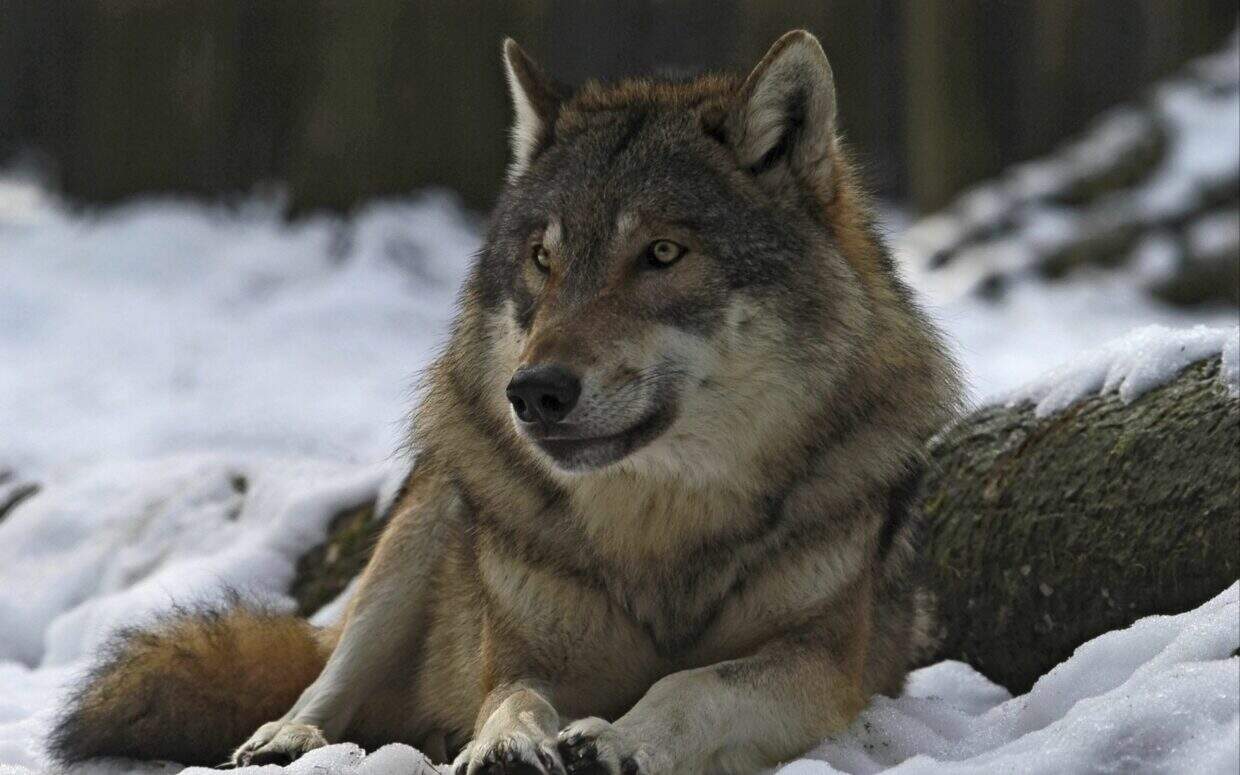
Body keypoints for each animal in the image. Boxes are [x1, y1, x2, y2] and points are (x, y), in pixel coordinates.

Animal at [49, 30, 960, 775]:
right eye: (543, 259)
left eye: (663, 254)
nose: (535, 391)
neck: (657, 533)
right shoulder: (523, 652)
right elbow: (512, 696)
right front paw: (508, 742)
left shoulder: (823, 664)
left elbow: (693, 685)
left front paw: (618, 738)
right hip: (429, 519)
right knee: (326, 674)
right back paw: (286, 739)